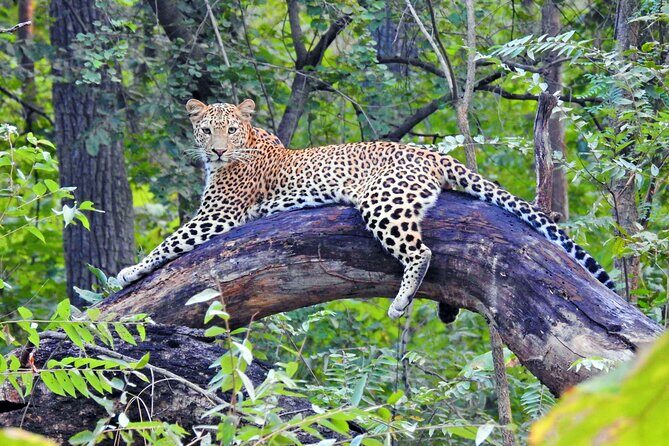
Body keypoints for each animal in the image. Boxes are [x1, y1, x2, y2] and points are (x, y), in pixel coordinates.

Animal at [117, 98, 615, 319]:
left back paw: (399, 302)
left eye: (231, 131)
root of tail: (431, 153)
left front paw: (128, 272)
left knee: (422, 252)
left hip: (383, 203)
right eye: (206, 130)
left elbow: (171, 242)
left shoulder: (219, 215)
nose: (218, 151)